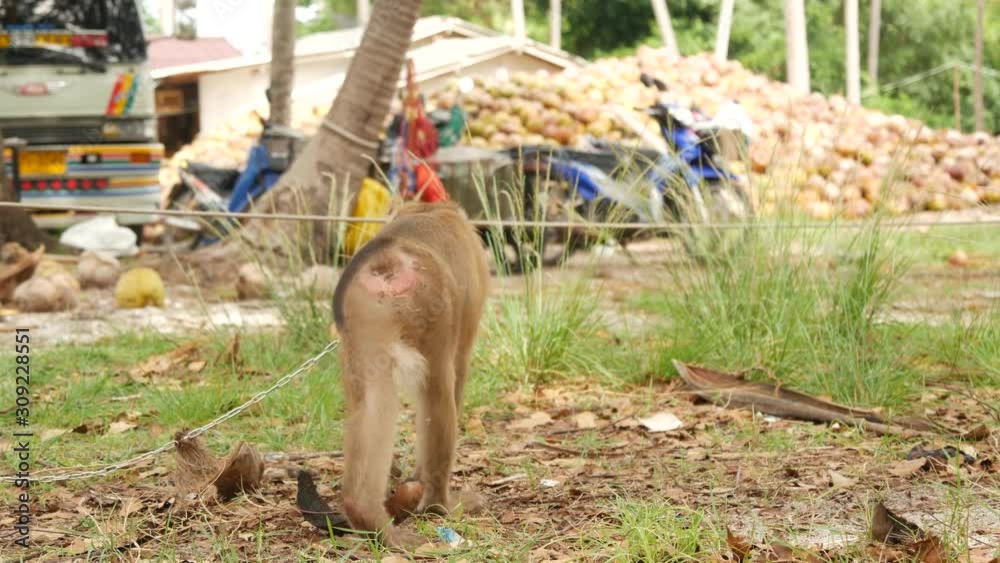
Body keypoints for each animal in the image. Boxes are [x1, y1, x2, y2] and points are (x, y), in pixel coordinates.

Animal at [332, 200, 490, 549]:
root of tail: (389, 258)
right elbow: (457, 372)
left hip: (364, 312)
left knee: (371, 402)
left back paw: (366, 513)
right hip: (431, 303)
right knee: (439, 391)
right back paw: (439, 505)